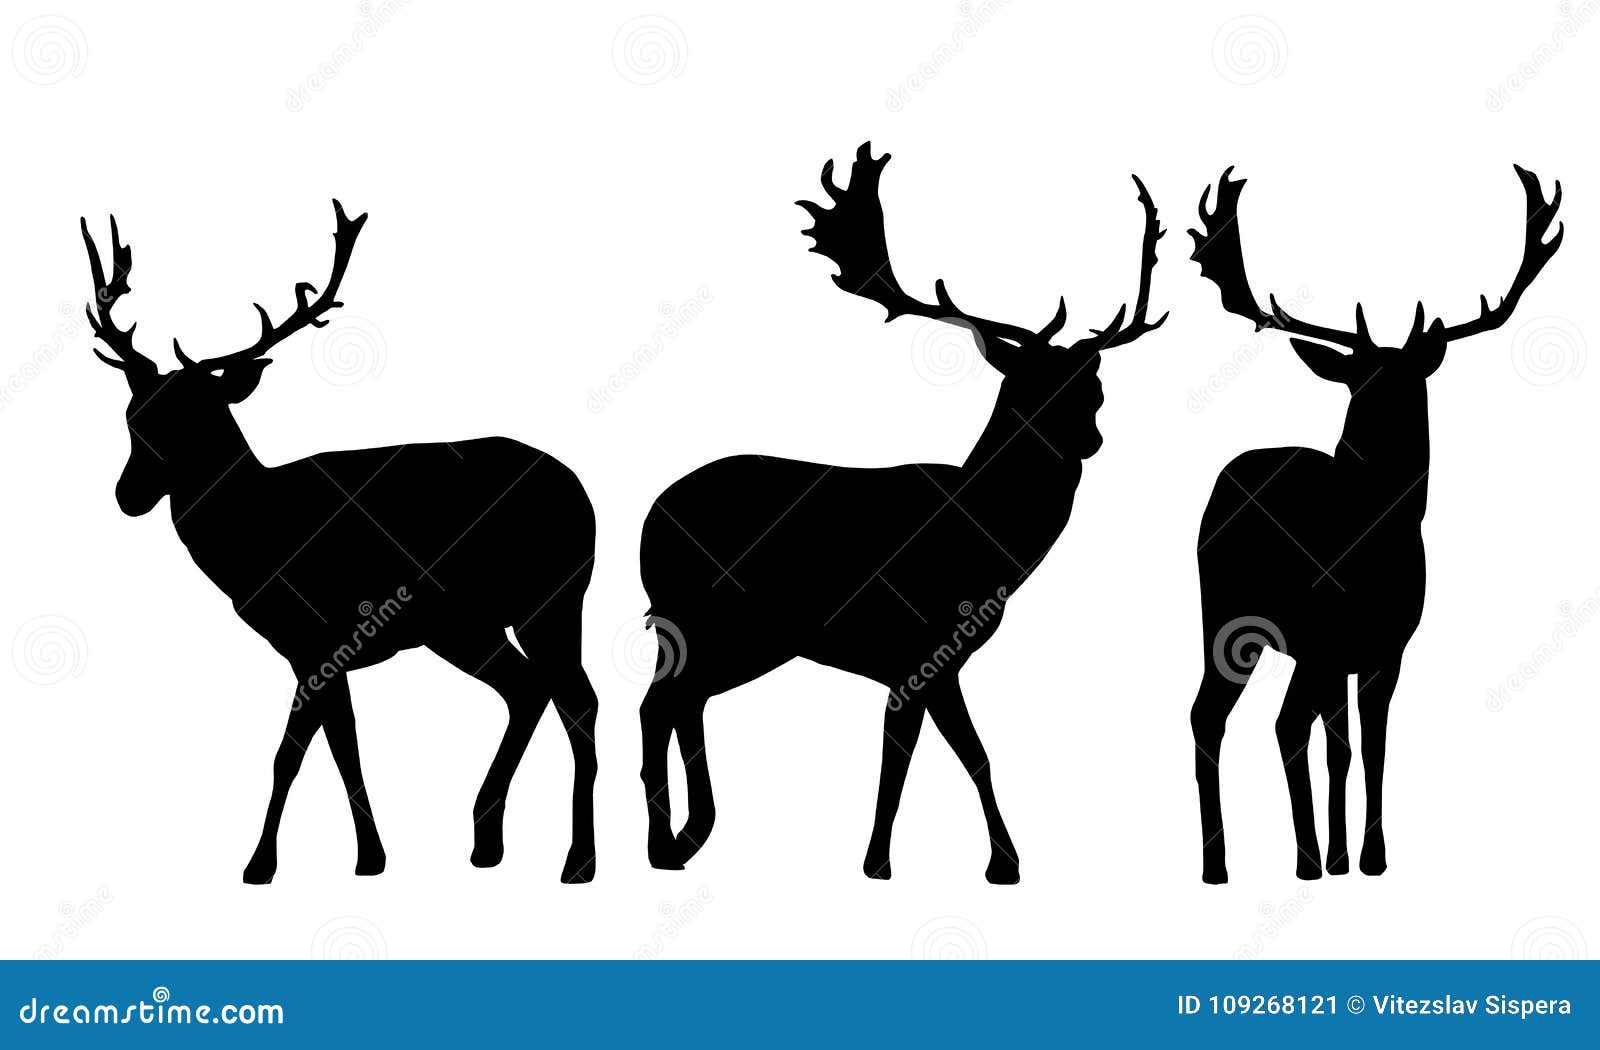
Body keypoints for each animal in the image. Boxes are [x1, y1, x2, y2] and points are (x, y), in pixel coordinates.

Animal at [82, 201, 600, 884]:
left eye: (199, 418)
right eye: (132, 416)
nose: (128, 494)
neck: (258, 539)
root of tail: (585, 498)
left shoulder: (319, 636)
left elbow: (294, 752)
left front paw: (262, 864)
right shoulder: (314, 649)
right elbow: (340, 746)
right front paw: (369, 857)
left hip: (553, 595)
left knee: (576, 699)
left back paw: (577, 860)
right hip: (464, 625)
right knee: (531, 689)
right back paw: (487, 842)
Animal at [636, 143, 1168, 883]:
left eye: (1090, 385)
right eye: (1025, 385)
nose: (1087, 439)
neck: (987, 542)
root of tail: (647, 523)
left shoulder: (935, 659)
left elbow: (953, 753)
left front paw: (977, 862)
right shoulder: (916, 645)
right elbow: (920, 756)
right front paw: (905, 863)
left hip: (726, 632)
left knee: (684, 701)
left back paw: (690, 836)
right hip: (713, 618)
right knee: (660, 704)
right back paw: (666, 844)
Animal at [1186, 165, 1563, 883]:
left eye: (1409, 381)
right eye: (1359, 381)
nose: (1379, 434)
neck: (1371, 539)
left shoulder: (1387, 647)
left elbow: (1368, 744)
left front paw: (1364, 857)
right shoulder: (1329, 640)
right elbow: (1336, 743)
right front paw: (1342, 857)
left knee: (1266, 721)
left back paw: (1279, 857)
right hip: (1230, 612)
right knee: (1227, 718)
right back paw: (1232, 864)